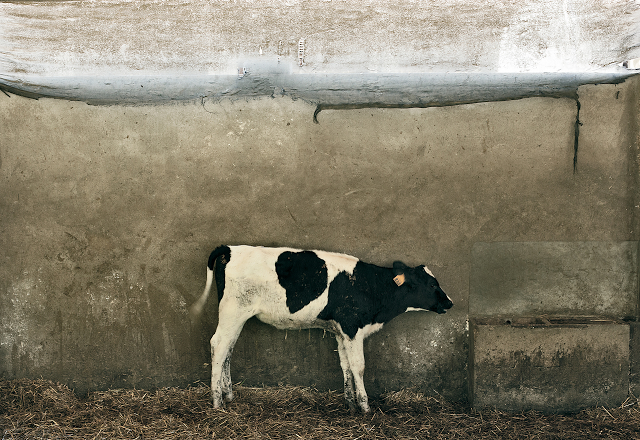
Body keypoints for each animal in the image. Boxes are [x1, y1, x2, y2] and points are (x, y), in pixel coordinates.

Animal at [190, 245, 453, 413]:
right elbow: (358, 366)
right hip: (232, 311)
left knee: (228, 350)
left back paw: (229, 395)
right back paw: (217, 402)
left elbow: (345, 365)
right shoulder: (352, 327)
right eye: (432, 284)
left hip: (237, 316)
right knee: (218, 346)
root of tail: (230, 248)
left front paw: (350, 403)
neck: (369, 286)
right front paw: (365, 406)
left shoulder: (341, 331)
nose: (449, 302)